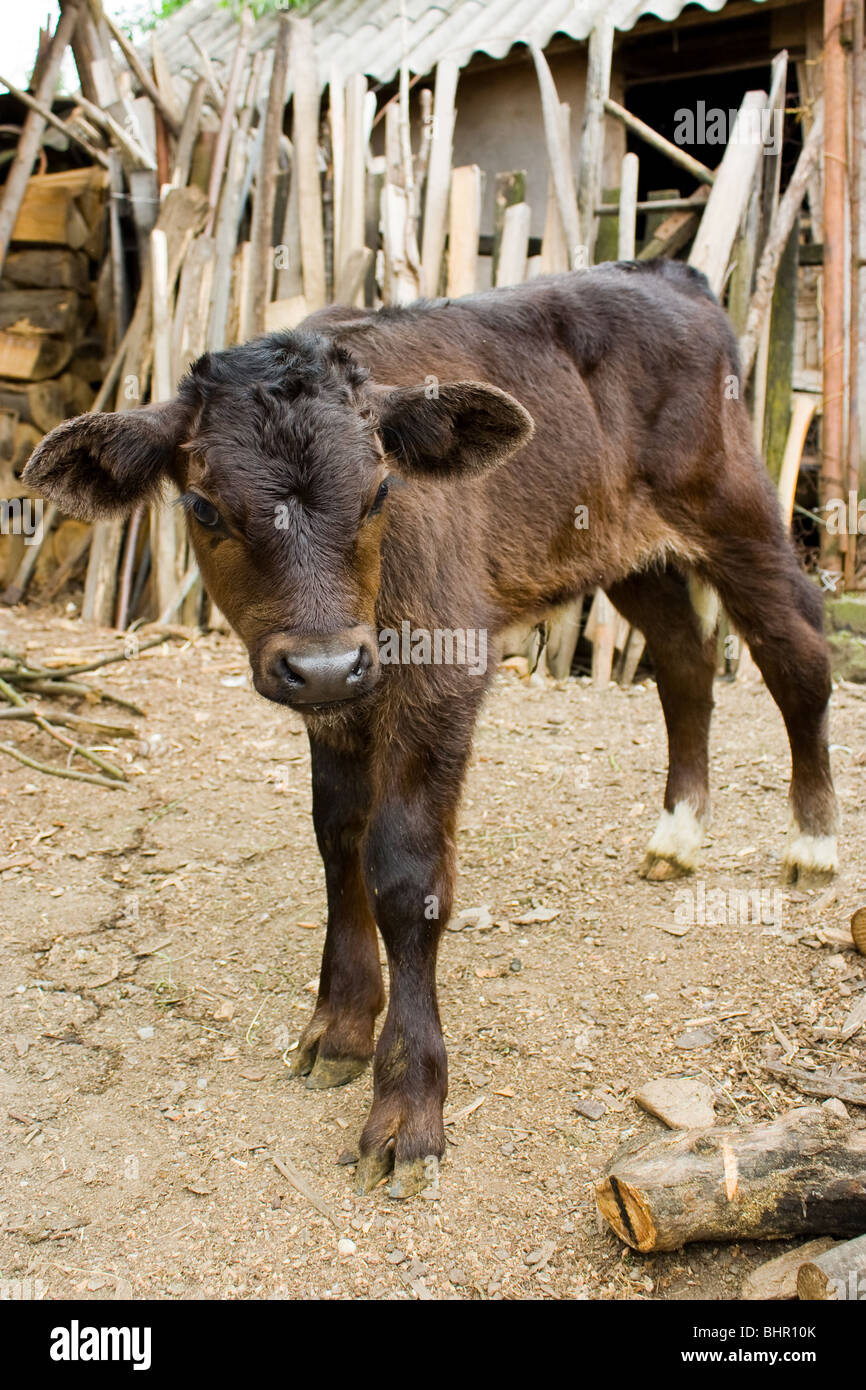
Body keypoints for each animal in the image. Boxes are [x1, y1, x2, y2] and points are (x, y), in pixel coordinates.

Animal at [23, 261, 839, 1198]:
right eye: (202, 506)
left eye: (382, 491)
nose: (324, 664)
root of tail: (668, 272)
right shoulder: (342, 700)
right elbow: (337, 838)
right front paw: (339, 1026)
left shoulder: (442, 675)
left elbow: (406, 871)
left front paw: (407, 1107)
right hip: (626, 549)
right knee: (684, 661)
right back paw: (677, 834)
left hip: (735, 506)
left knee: (795, 652)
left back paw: (814, 844)